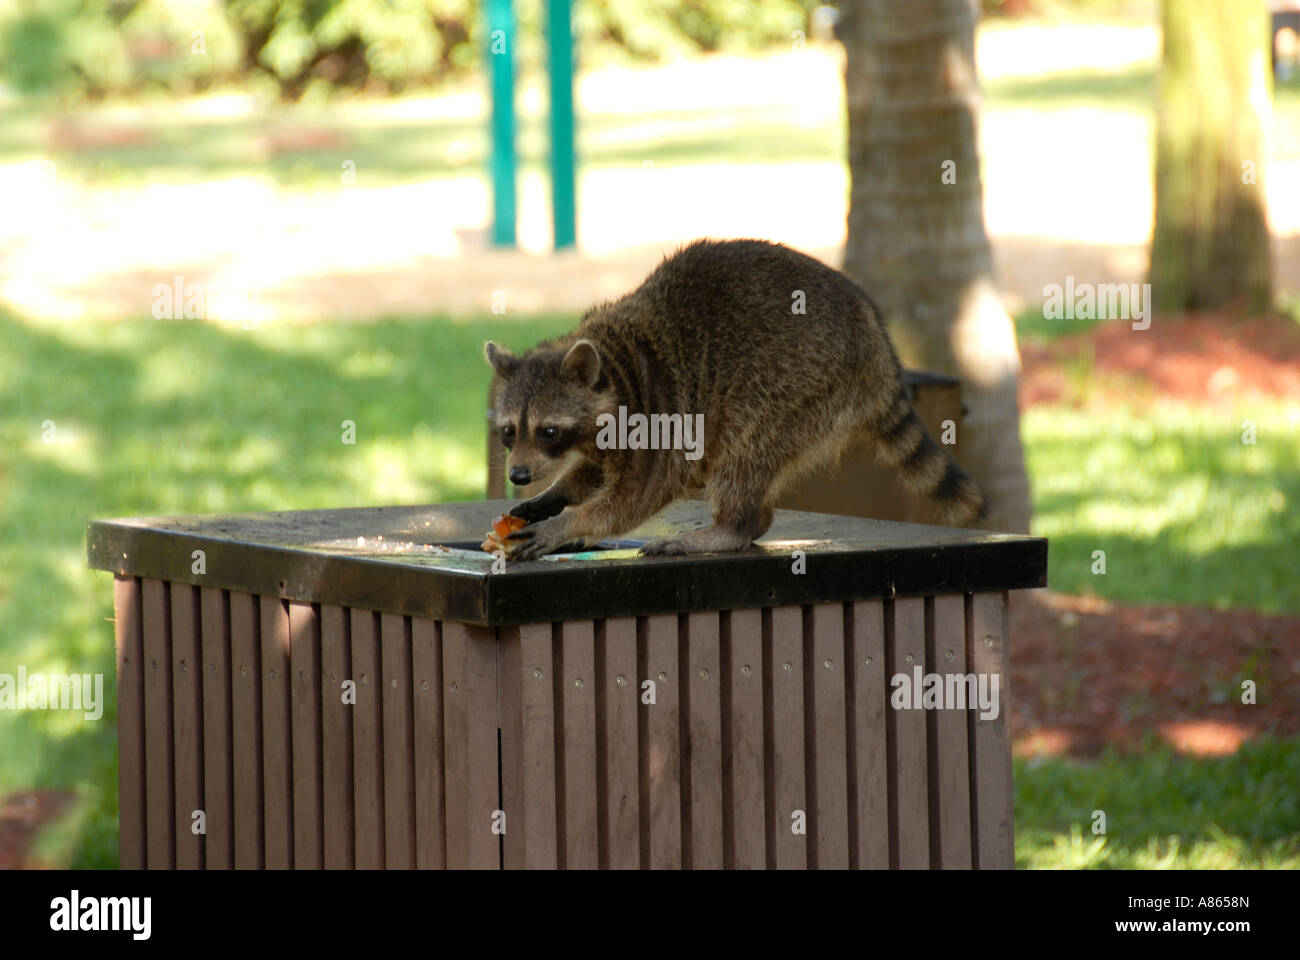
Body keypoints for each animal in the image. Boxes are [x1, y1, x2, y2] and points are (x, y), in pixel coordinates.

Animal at [485, 238, 985, 561]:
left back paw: (735, 525)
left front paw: (568, 523)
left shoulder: (656, 418)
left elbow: (632, 500)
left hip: (798, 383)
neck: (615, 362)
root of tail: (876, 341)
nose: (518, 474)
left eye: (548, 431)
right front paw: (556, 494)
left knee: (745, 451)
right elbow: (593, 472)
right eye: (509, 431)